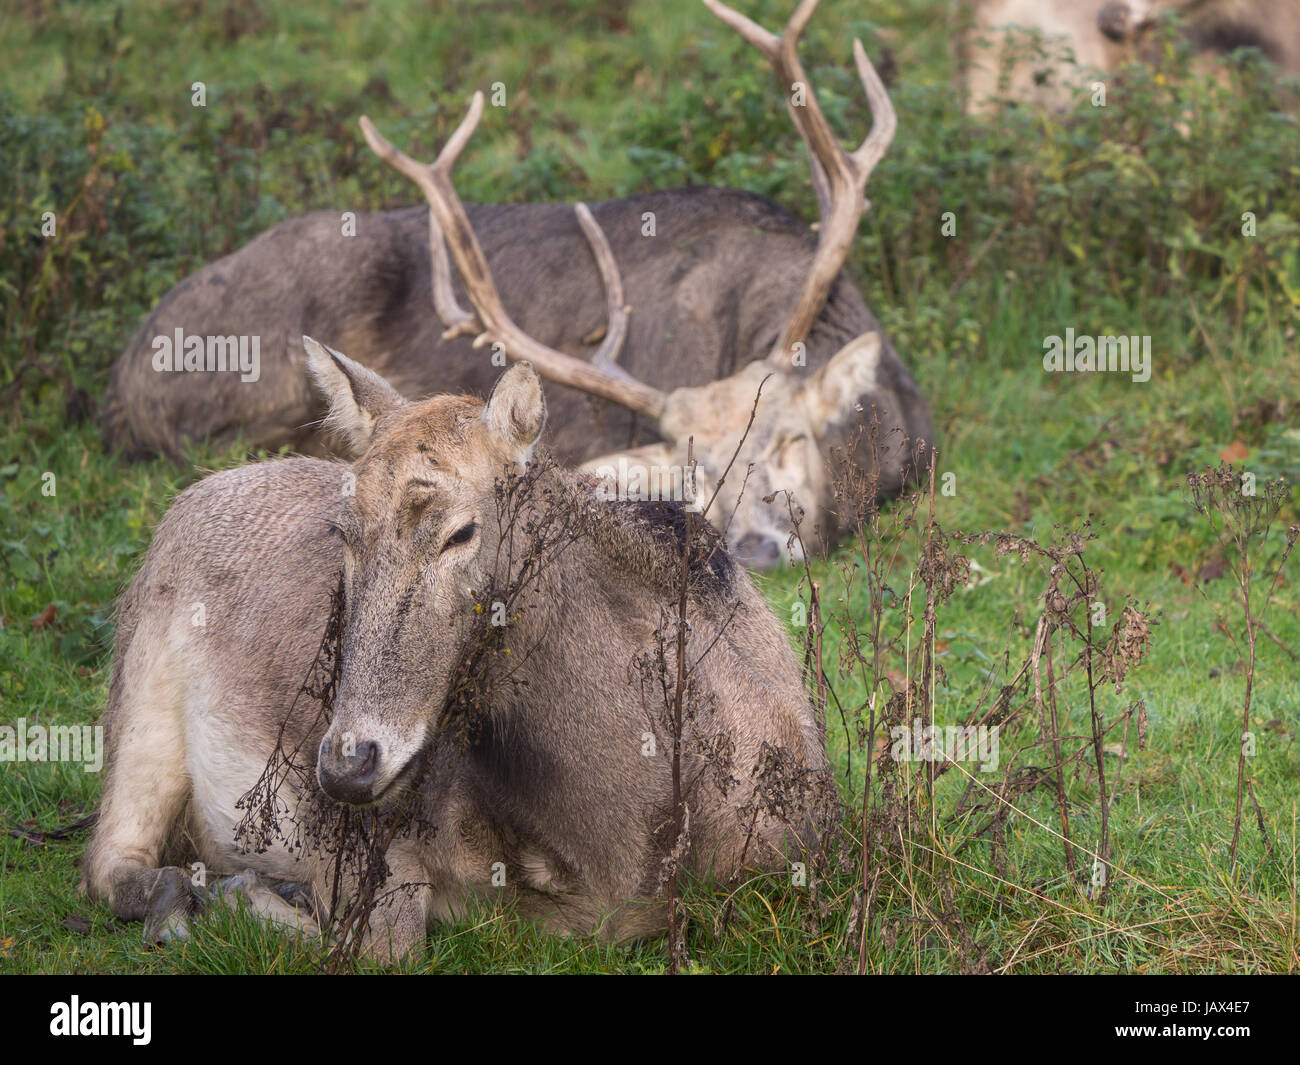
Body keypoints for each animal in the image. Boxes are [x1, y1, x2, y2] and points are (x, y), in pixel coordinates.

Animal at [80, 337, 834, 962]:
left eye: (461, 532)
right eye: (342, 529)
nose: (348, 763)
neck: (618, 841)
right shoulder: (360, 846)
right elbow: (386, 945)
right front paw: (251, 895)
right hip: (140, 693)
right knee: (110, 862)